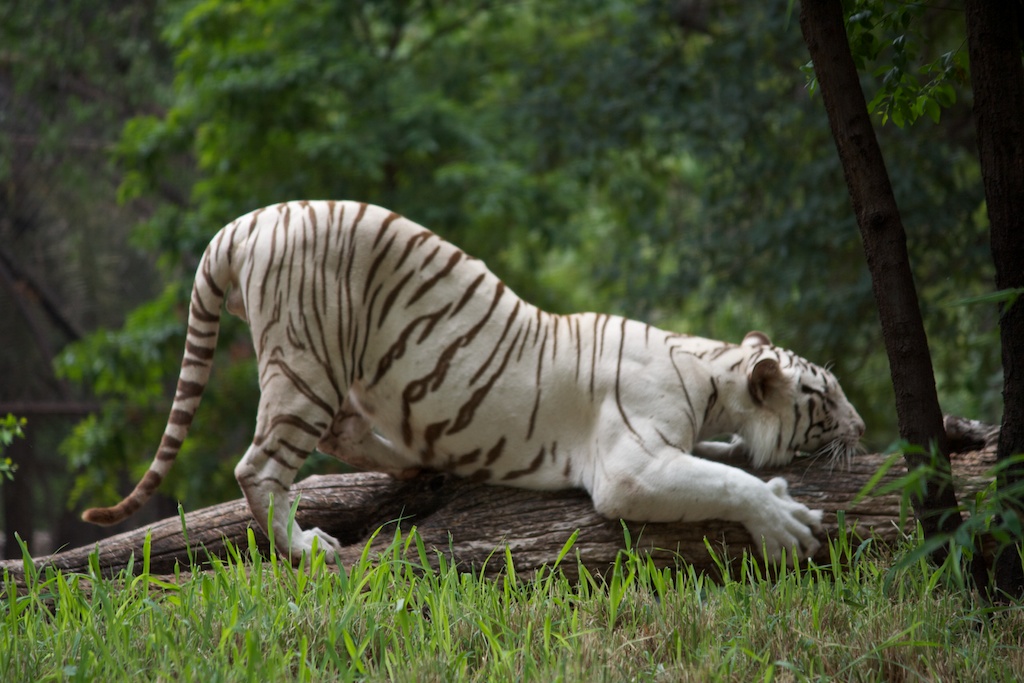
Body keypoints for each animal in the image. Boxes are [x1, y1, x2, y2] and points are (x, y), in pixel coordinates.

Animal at [82, 200, 865, 563]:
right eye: (825, 397)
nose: (860, 429)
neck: (711, 377)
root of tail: (243, 223)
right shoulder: (631, 466)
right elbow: (723, 481)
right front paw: (785, 520)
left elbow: (722, 459)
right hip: (305, 360)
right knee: (261, 465)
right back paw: (305, 546)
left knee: (341, 432)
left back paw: (420, 464)